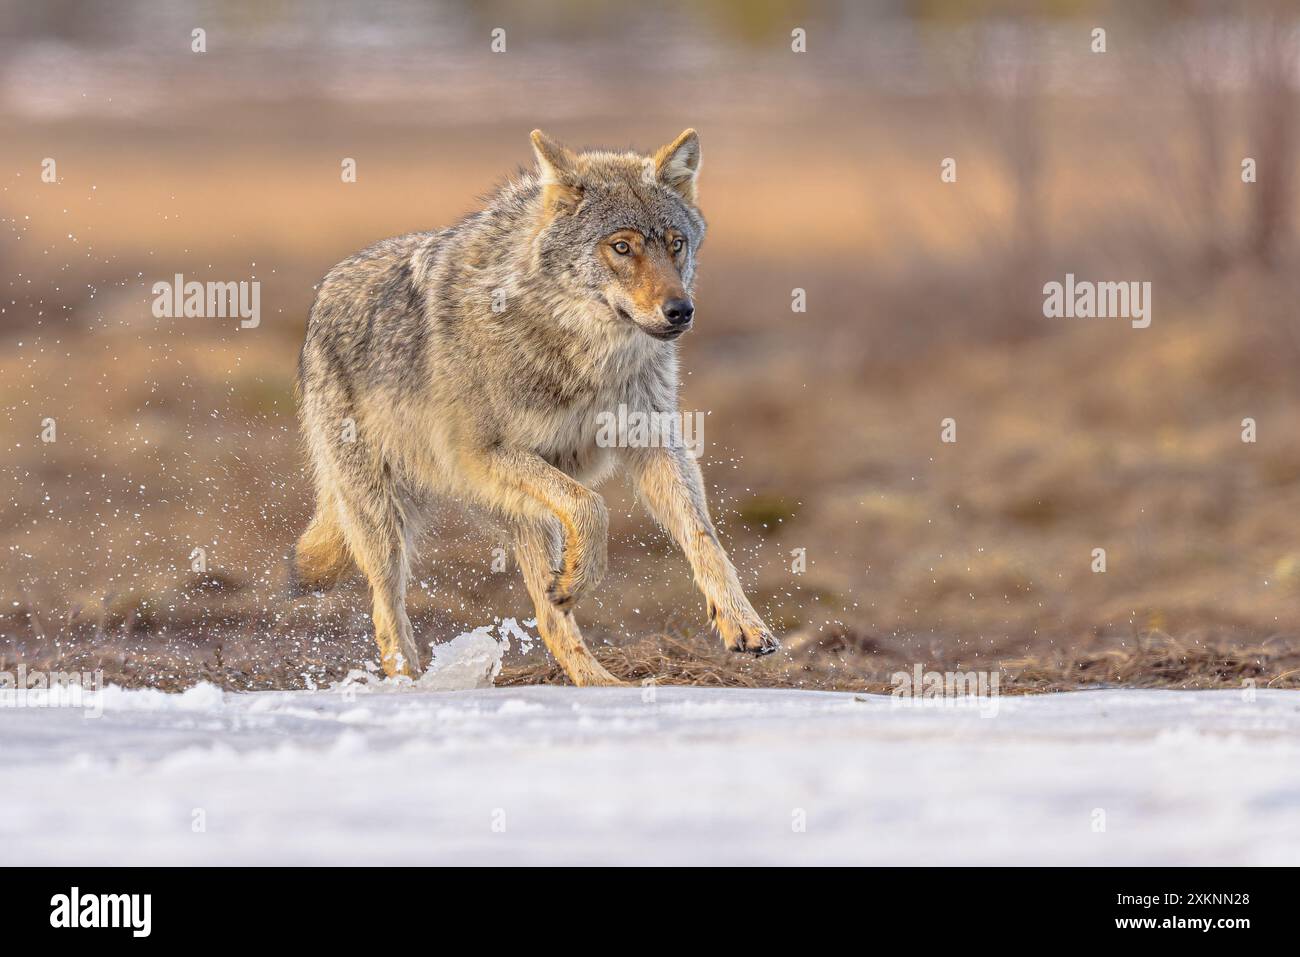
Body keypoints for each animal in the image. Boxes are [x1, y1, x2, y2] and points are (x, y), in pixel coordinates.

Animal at [292, 129, 779, 685]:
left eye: (676, 244)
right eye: (622, 247)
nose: (681, 311)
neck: (583, 359)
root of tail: (325, 289)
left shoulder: (653, 441)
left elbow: (704, 537)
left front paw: (743, 624)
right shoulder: (483, 455)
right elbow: (593, 507)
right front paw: (579, 578)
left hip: (518, 517)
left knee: (549, 619)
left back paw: (601, 682)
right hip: (385, 521)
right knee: (385, 609)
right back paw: (410, 686)